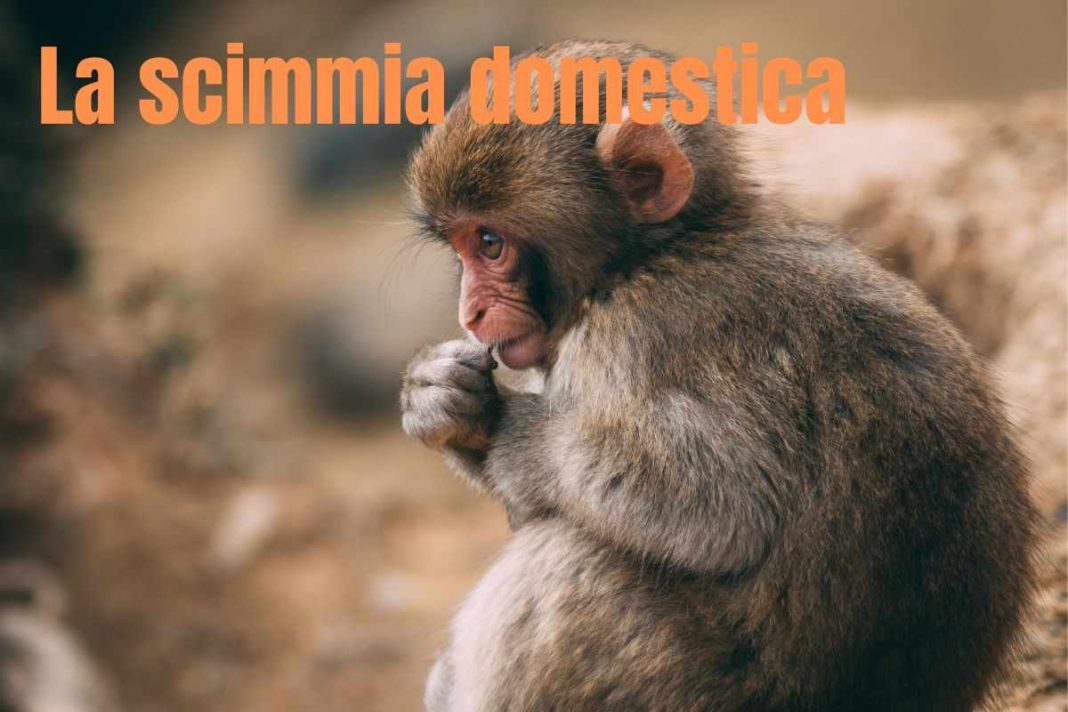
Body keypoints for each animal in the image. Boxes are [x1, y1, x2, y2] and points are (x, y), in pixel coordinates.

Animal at [400, 40, 1038, 711]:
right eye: (462, 248)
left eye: (490, 243)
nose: (470, 311)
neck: (651, 256)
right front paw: (442, 399)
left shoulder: (639, 334)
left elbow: (721, 506)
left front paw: (511, 433)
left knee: (565, 564)